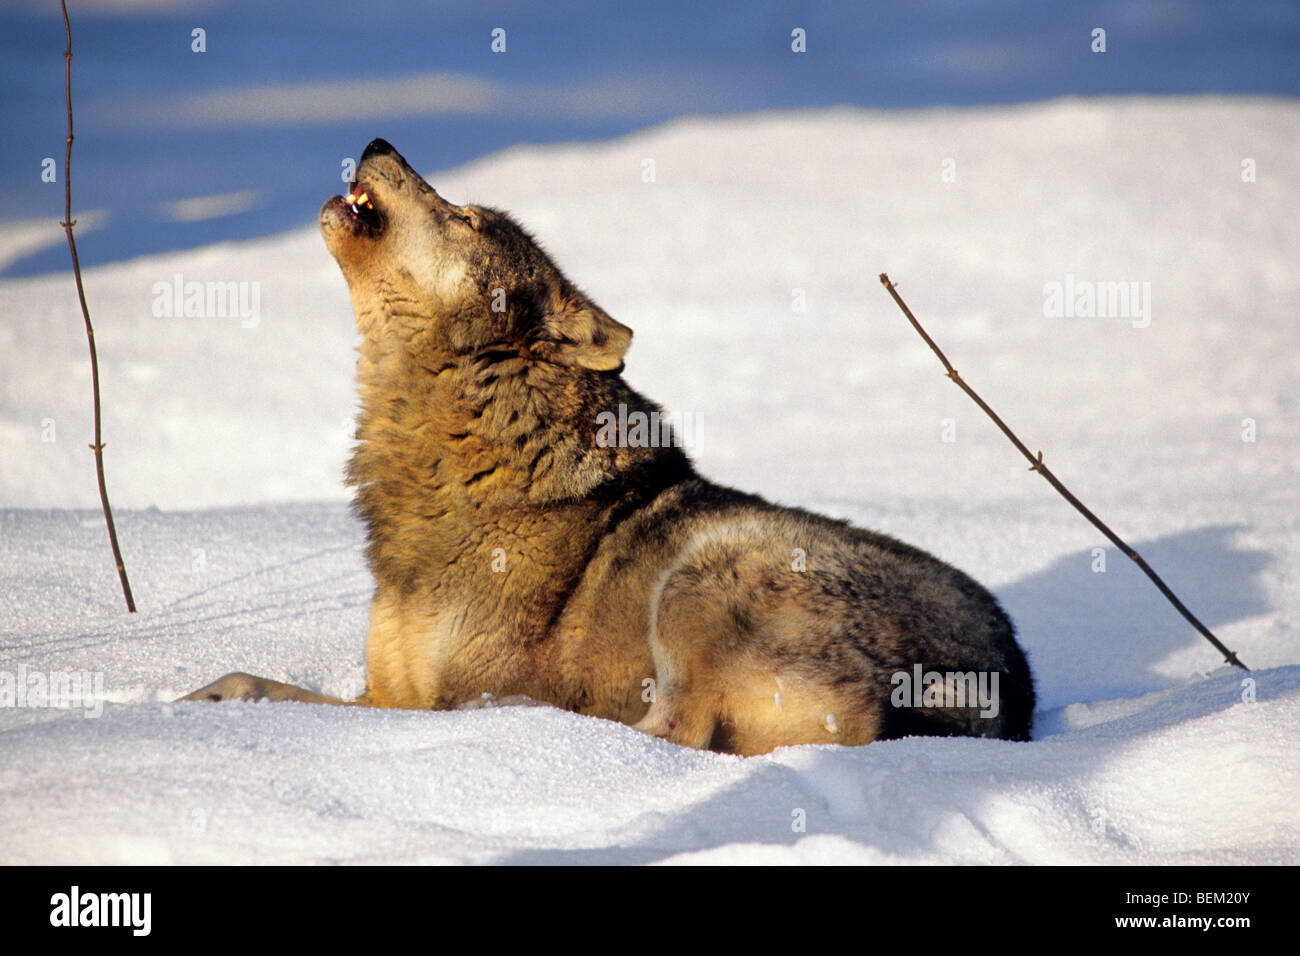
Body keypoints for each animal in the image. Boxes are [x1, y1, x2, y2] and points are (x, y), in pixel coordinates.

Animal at [183, 138, 1035, 755]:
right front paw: (193, 701)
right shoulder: (387, 687)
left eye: (466, 217)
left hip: (702, 575)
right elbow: (251, 677)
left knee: (671, 733)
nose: (378, 140)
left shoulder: (433, 699)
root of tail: (1011, 691)